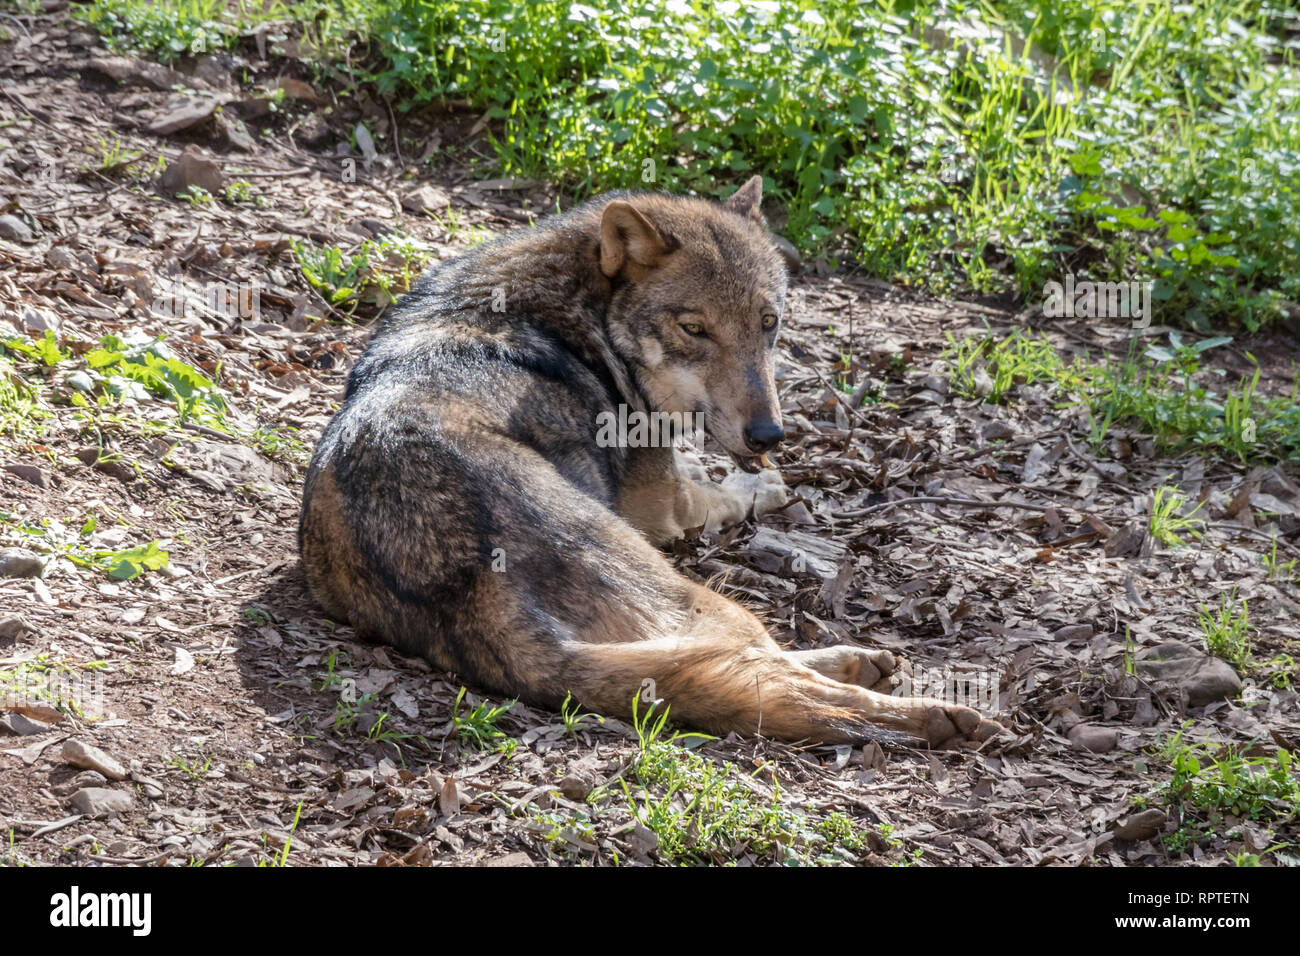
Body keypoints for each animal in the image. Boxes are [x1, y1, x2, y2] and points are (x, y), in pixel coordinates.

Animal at [298, 176, 1002, 748]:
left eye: (768, 323)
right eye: (695, 329)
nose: (769, 434)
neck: (582, 319)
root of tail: (465, 586)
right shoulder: (666, 507)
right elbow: (724, 489)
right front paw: (768, 483)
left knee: (741, 668)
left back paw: (869, 669)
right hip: (693, 593)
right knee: (774, 676)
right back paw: (933, 714)